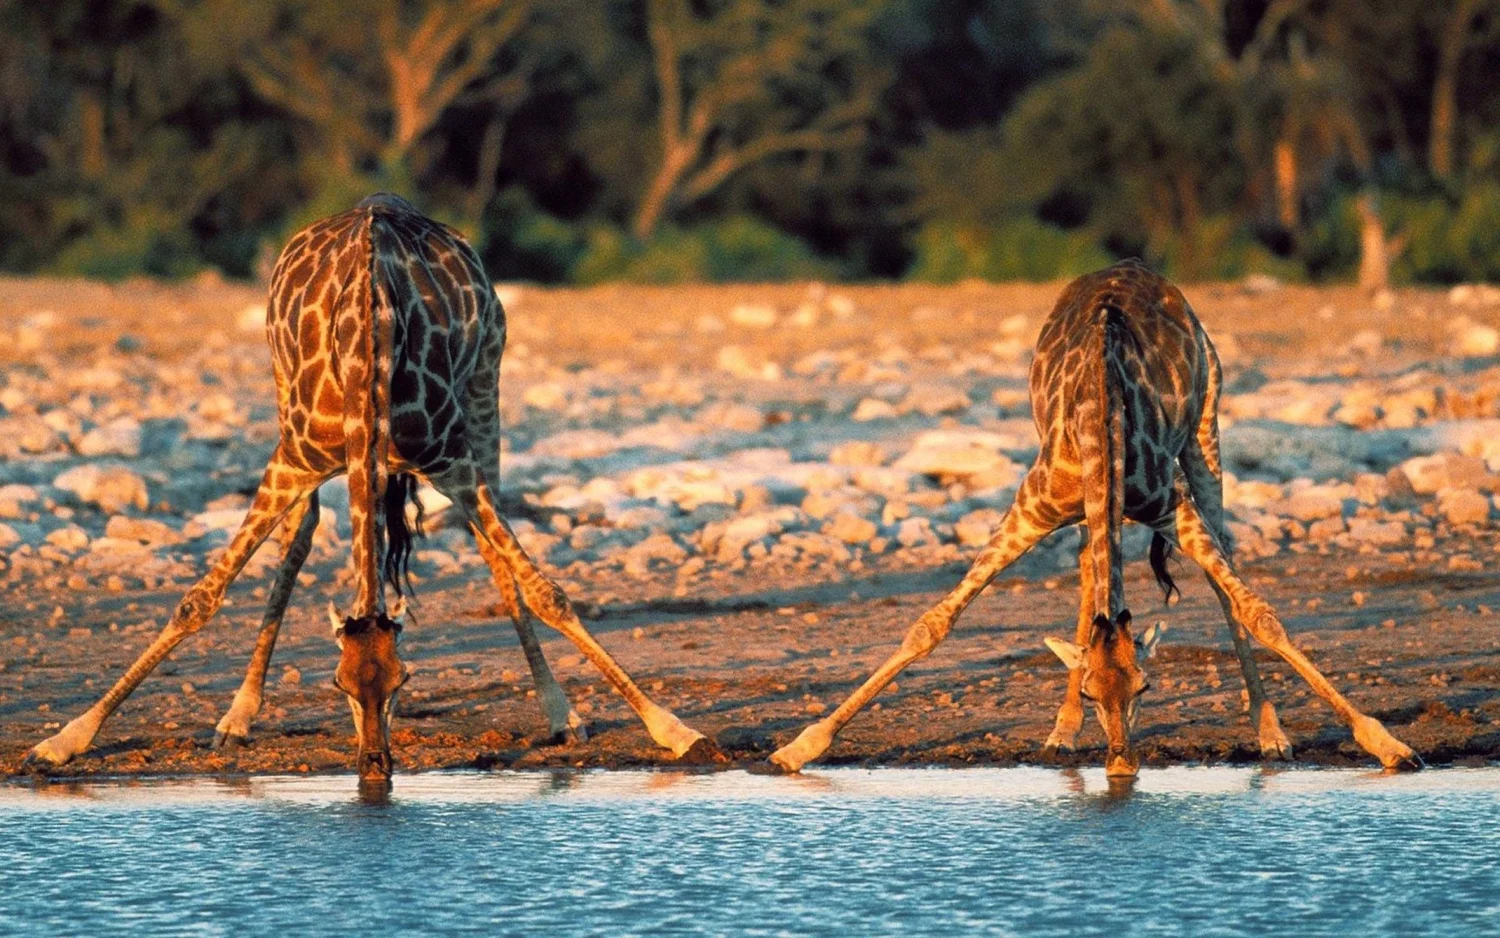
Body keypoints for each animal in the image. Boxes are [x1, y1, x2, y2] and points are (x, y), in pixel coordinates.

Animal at [25, 194, 720, 780]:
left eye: (404, 680)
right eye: (337, 684)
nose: (375, 766)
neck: (367, 346)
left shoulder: (454, 461)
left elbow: (547, 591)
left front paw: (674, 729)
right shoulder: (293, 459)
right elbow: (198, 600)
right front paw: (64, 739)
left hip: (485, 390)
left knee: (493, 551)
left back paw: (560, 713)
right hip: (282, 397)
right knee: (301, 534)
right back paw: (238, 716)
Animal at [769, 259, 1422, 776]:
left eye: (1146, 686)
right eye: (1090, 690)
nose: (1121, 764)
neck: (1101, 414)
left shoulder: (1170, 506)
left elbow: (1259, 613)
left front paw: (1388, 745)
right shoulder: (1031, 507)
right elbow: (931, 625)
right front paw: (798, 748)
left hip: (1206, 427)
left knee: (1221, 567)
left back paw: (1270, 734)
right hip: (1094, 501)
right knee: (1089, 570)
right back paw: (1060, 732)